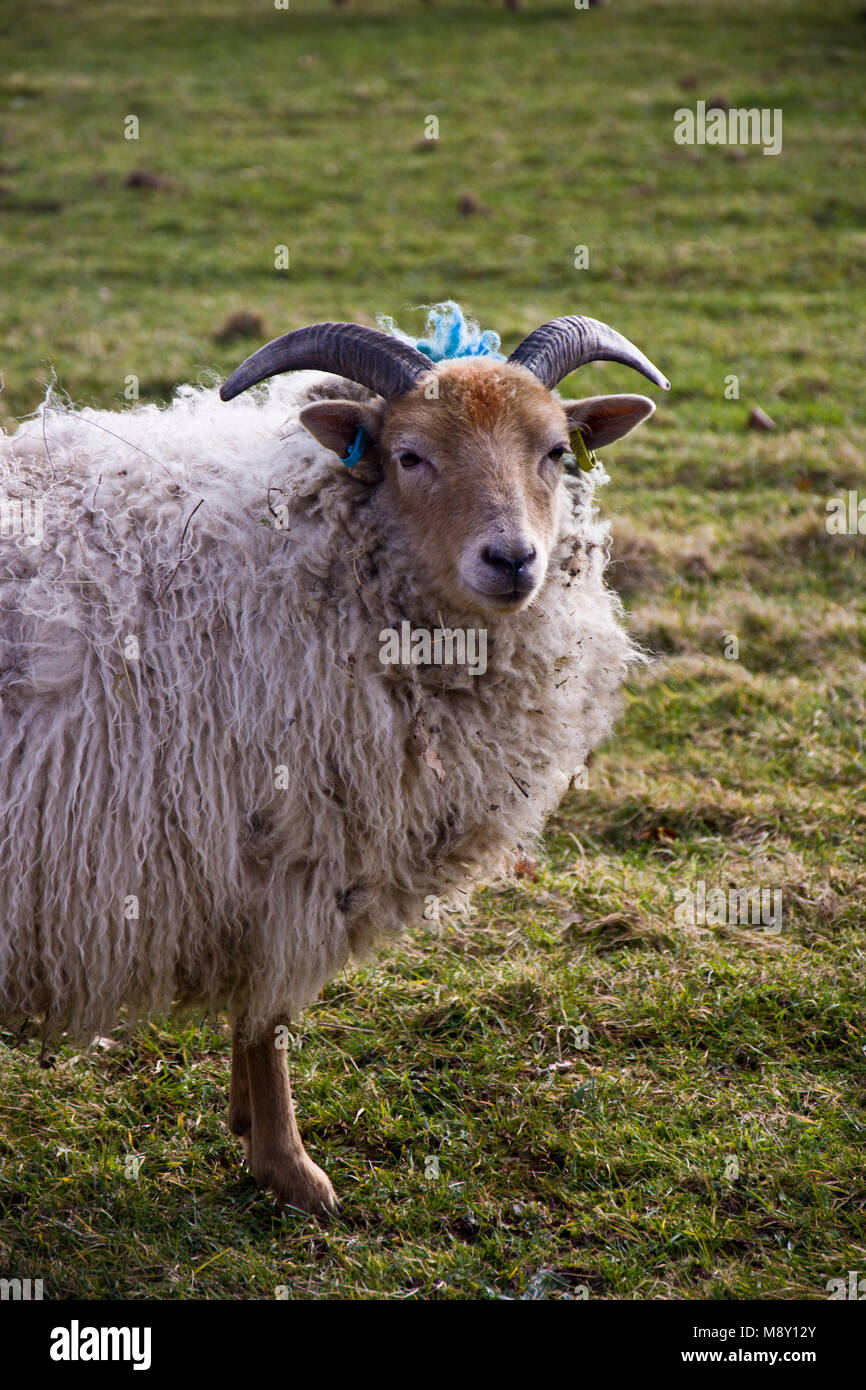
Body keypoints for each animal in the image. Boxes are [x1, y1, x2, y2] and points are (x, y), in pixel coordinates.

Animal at [0, 305, 667, 1215]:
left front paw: (248, 1123)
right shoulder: (280, 844)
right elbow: (269, 1019)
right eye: (409, 455)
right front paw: (289, 1168)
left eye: (557, 451)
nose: (513, 560)